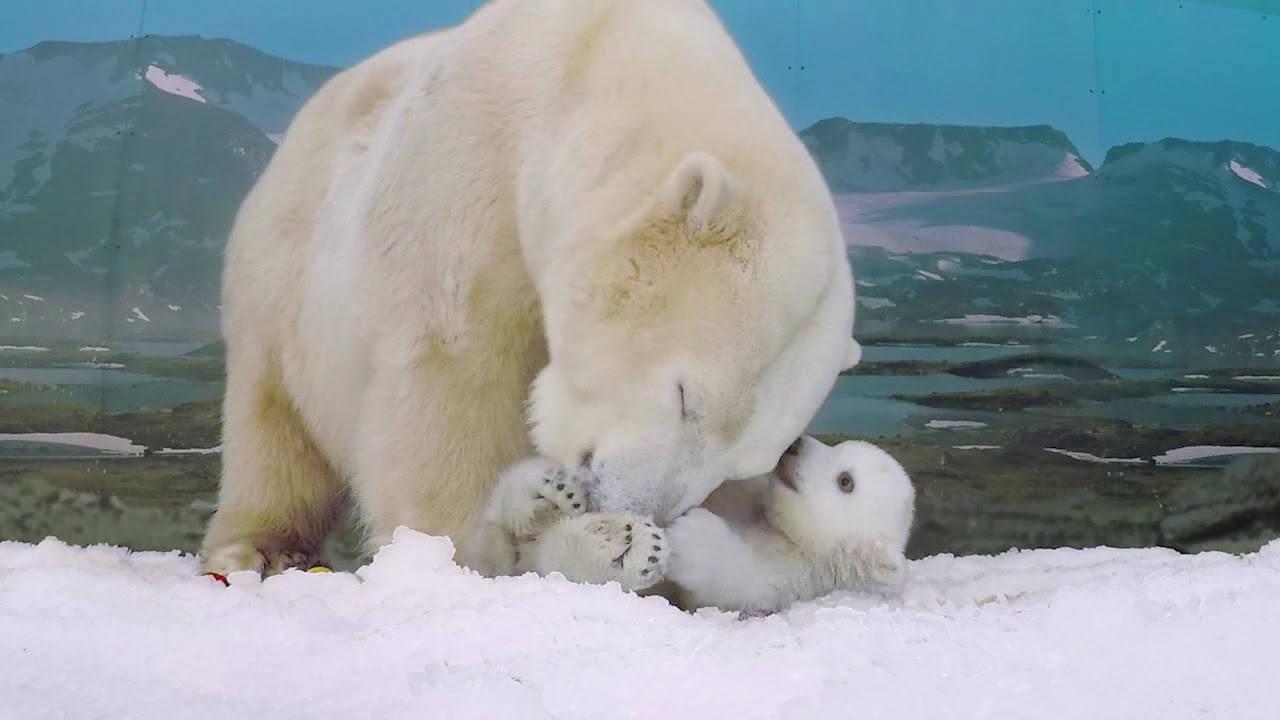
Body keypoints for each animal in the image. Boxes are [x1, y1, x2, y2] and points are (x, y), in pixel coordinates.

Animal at [200, 0, 859, 578]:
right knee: (271, 422)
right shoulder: (468, 180)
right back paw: (258, 548)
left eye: (747, 460)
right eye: (684, 397)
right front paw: (453, 552)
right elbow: (451, 381)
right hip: (285, 271)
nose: (637, 506)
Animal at [468, 435, 916, 615]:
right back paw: (550, 492)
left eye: (846, 481)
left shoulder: (794, 575)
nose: (795, 444)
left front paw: (692, 535)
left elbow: (736, 585)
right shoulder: (751, 493)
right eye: (839, 448)